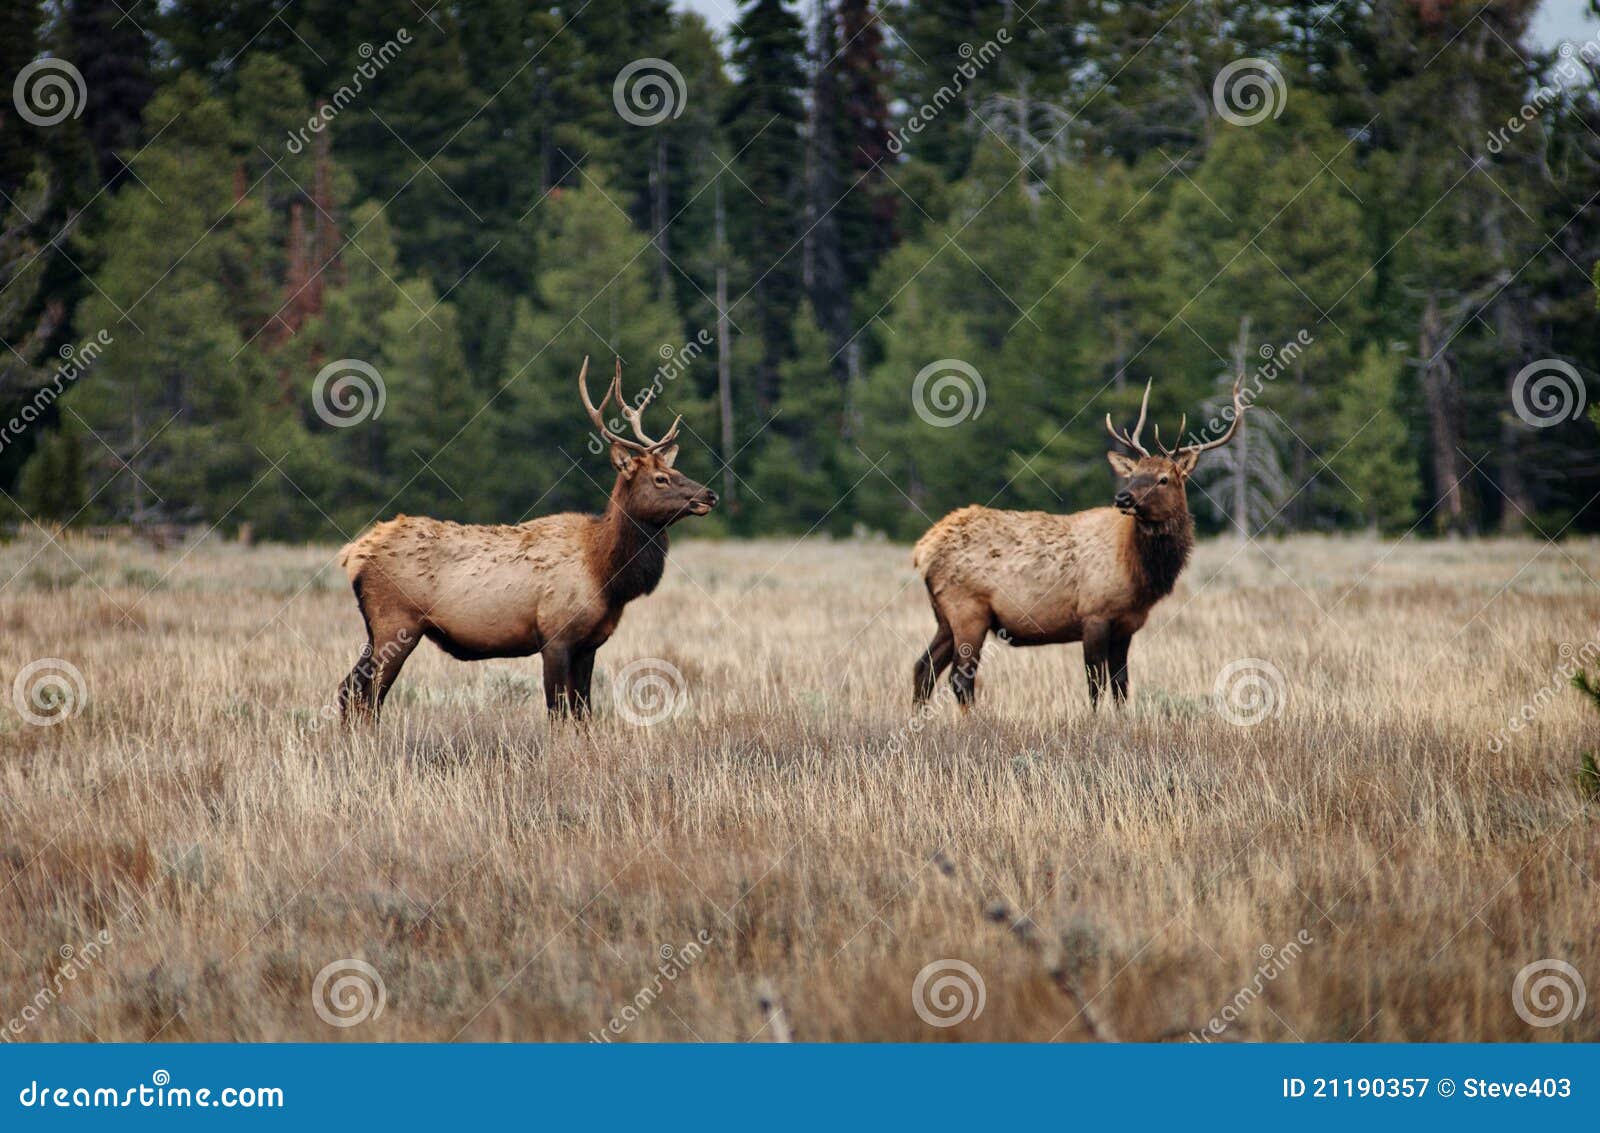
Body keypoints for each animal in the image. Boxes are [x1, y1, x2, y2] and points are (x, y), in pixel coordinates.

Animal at [336, 357, 717, 722]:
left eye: (676, 470)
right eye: (660, 478)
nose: (709, 495)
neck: (606, 575)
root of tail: (352, 553)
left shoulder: (590, 644)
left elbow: (584, 712)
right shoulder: (555, 635)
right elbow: (558, 711)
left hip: (378, 630)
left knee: (348, 689)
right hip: (395, 622)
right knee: (367, 695)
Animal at [910, 380, 1246, 711]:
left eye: (1163, 479)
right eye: (1134, 474)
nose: (1122, 497)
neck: (1139, 569)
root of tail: (923, 548)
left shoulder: (1126, 624)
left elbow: (1121, 685)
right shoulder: (1094, 614)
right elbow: (1095, 684)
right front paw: (1095, 721)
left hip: (945, 617)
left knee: (923, 667)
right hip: (968, 609)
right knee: (959, 678)